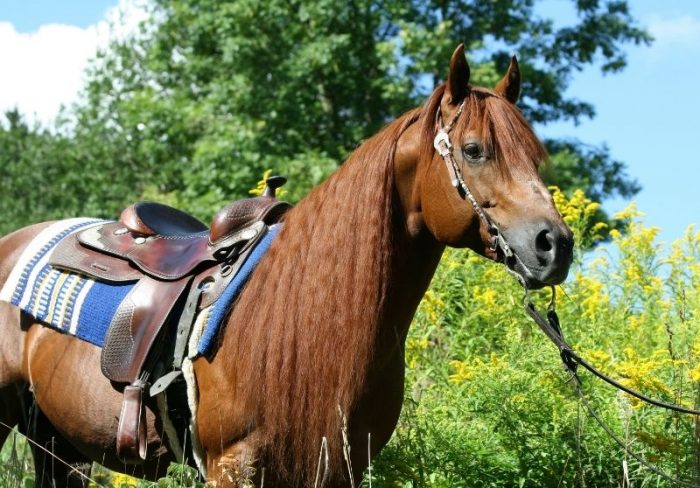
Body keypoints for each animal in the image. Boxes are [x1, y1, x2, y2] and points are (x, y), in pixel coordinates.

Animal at [0, 44, 573, 487]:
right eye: (474, 150)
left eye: (534, 157)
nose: (555, 245)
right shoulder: (233, 466)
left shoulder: (338, 469)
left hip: (58, 442)